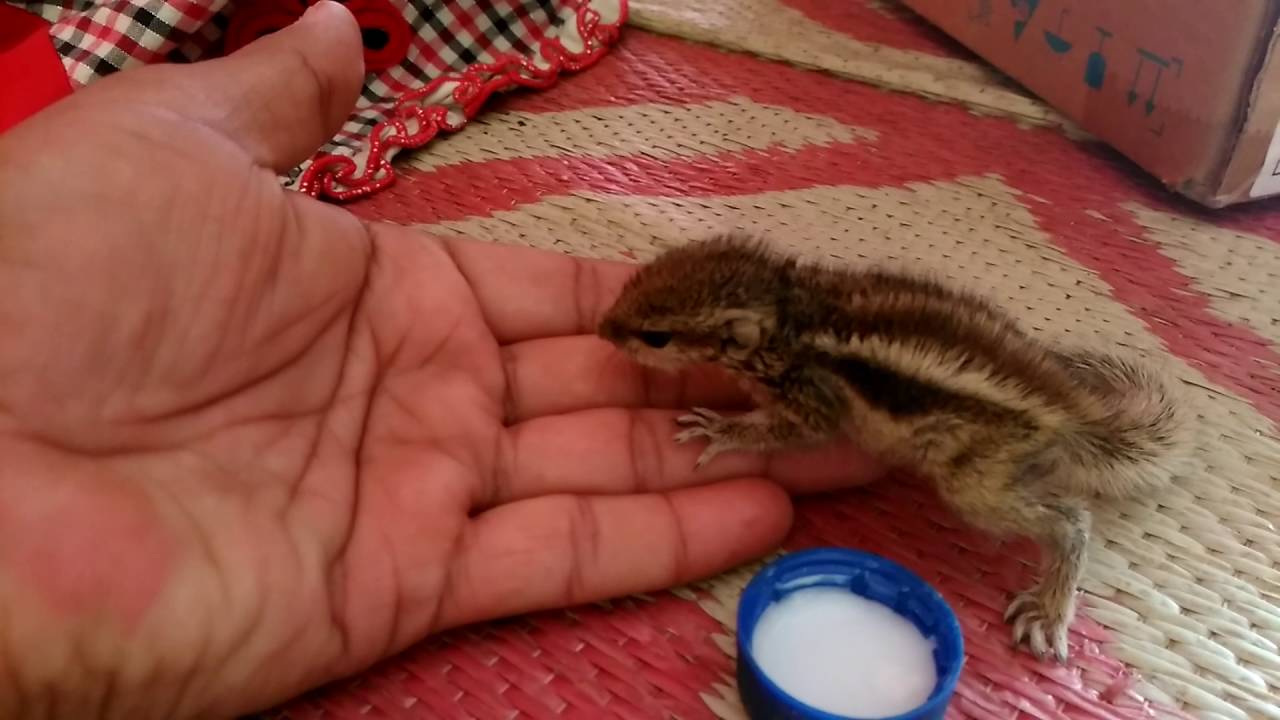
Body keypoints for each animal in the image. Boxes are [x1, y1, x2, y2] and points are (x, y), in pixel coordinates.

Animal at [597, 232, 1187, 663]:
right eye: (644, 274)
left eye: (656, 337)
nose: (603, 328)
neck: (791, 307)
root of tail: (1070, 408)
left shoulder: (814, 400)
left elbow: (798, 429)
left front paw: (722, 430)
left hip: (974, 483)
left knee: (1072, 521)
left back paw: (1049, 605)